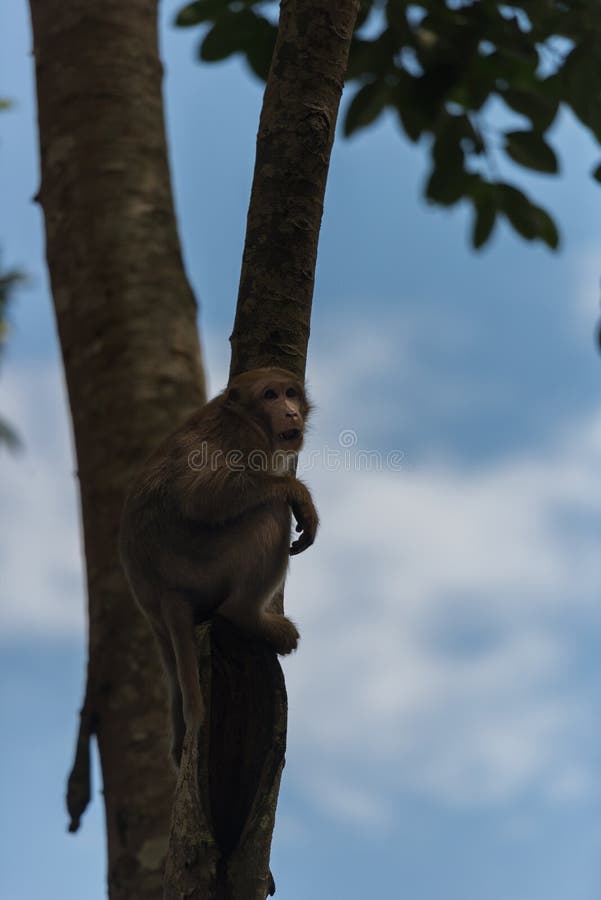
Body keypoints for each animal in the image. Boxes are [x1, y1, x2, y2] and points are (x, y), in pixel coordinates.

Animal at [119, 367, 318, 765]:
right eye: (271, 395)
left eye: (290, 393)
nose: (290, 412)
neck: (247, 416)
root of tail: (164, 593)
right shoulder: (242, 439)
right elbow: (203, 497)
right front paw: (299, 494)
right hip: (205, 566)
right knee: (269, 509)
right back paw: (247, 615)